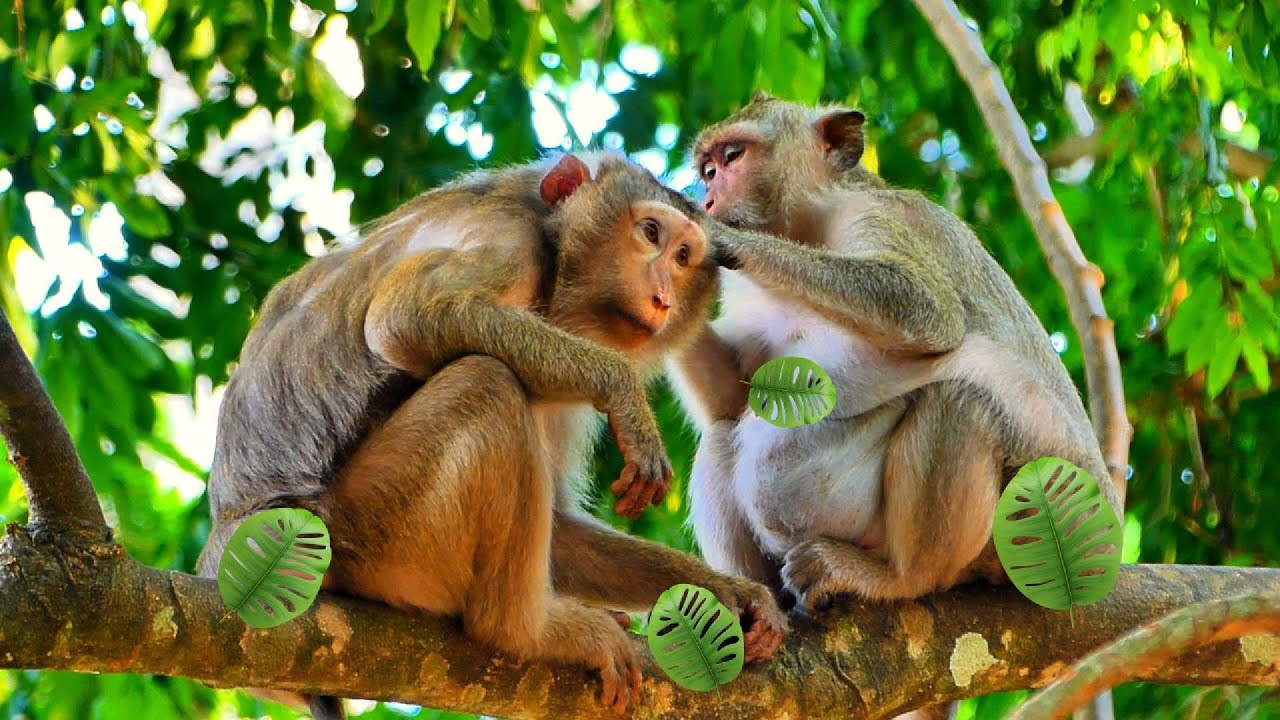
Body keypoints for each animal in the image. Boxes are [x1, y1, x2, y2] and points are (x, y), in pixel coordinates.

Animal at [196, 152, 787, 719]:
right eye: (649, 233)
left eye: (685, 258)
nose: (664, 295)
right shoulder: (509, 239)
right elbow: (406, 317)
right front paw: (623, 392)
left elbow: (560, 532)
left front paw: (729, 592)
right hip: (361, 530)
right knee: (488, 380)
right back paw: (523, 631)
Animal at [668, 92, 1123, 617]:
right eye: (707, 170)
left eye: (732, 157)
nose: (709, 198)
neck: (809, 227)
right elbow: (732, 393)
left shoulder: (873, 214)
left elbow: (927, 311)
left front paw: (713, 232)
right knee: (723, 433)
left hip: (1042, 525)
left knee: (961, 400)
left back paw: (899, 576)